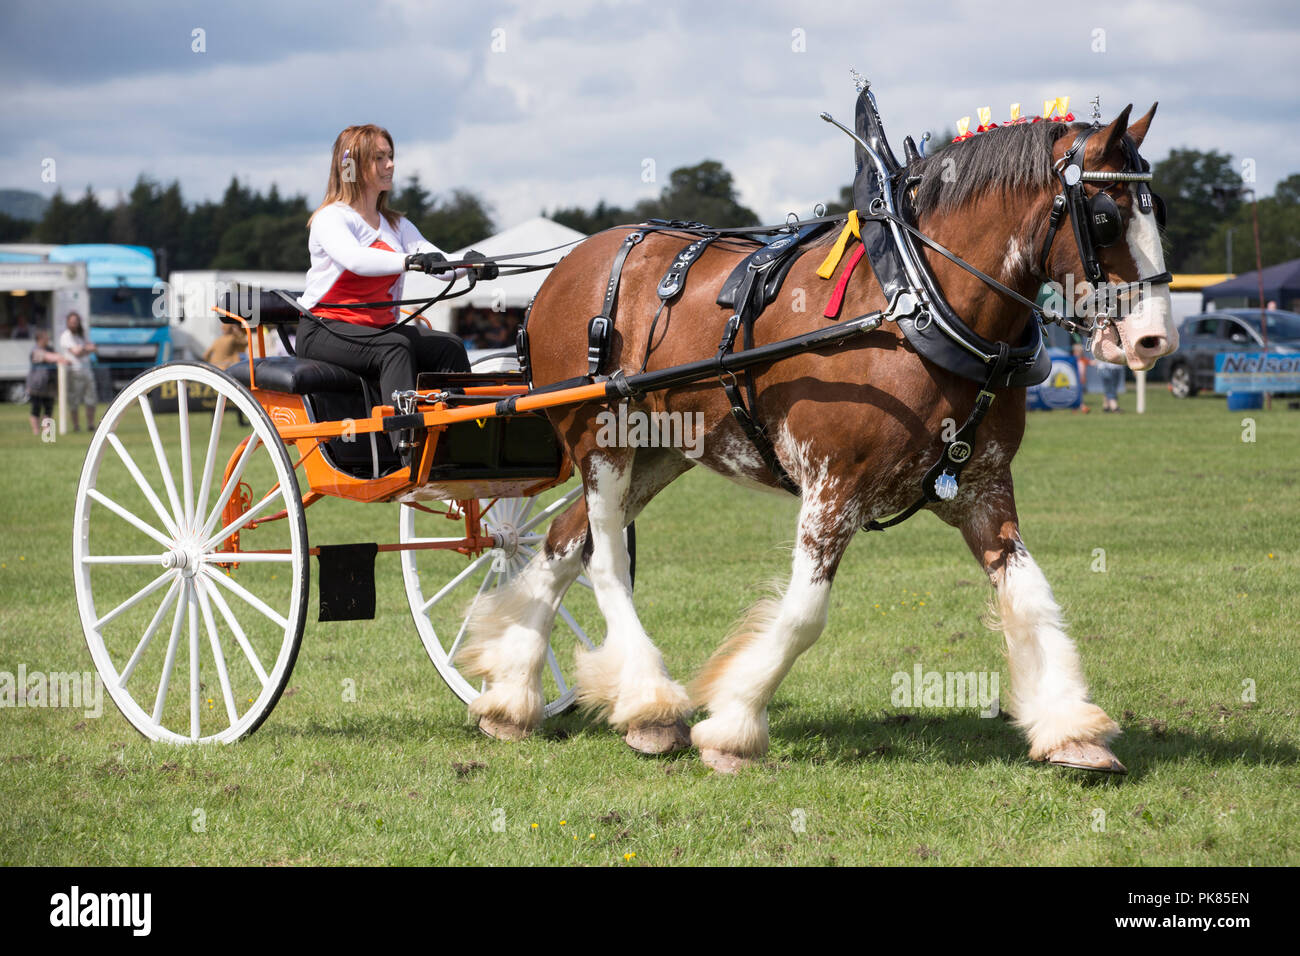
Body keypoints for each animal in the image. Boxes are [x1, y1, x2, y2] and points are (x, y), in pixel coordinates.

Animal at [454, 103, 1175, 773]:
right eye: (1105, 219)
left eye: (1158, 208)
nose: (1153, 340)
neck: (915, 308)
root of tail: (564, 267)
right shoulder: (834, 487)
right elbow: (804, 614)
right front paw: (734, 727)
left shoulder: (981, 486)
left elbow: (1031, 598)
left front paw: (1071, 727)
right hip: (602, 441)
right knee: (602, 559)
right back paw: (648, 700)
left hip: (659, 452)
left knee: (561, 542)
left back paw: (515, 693)